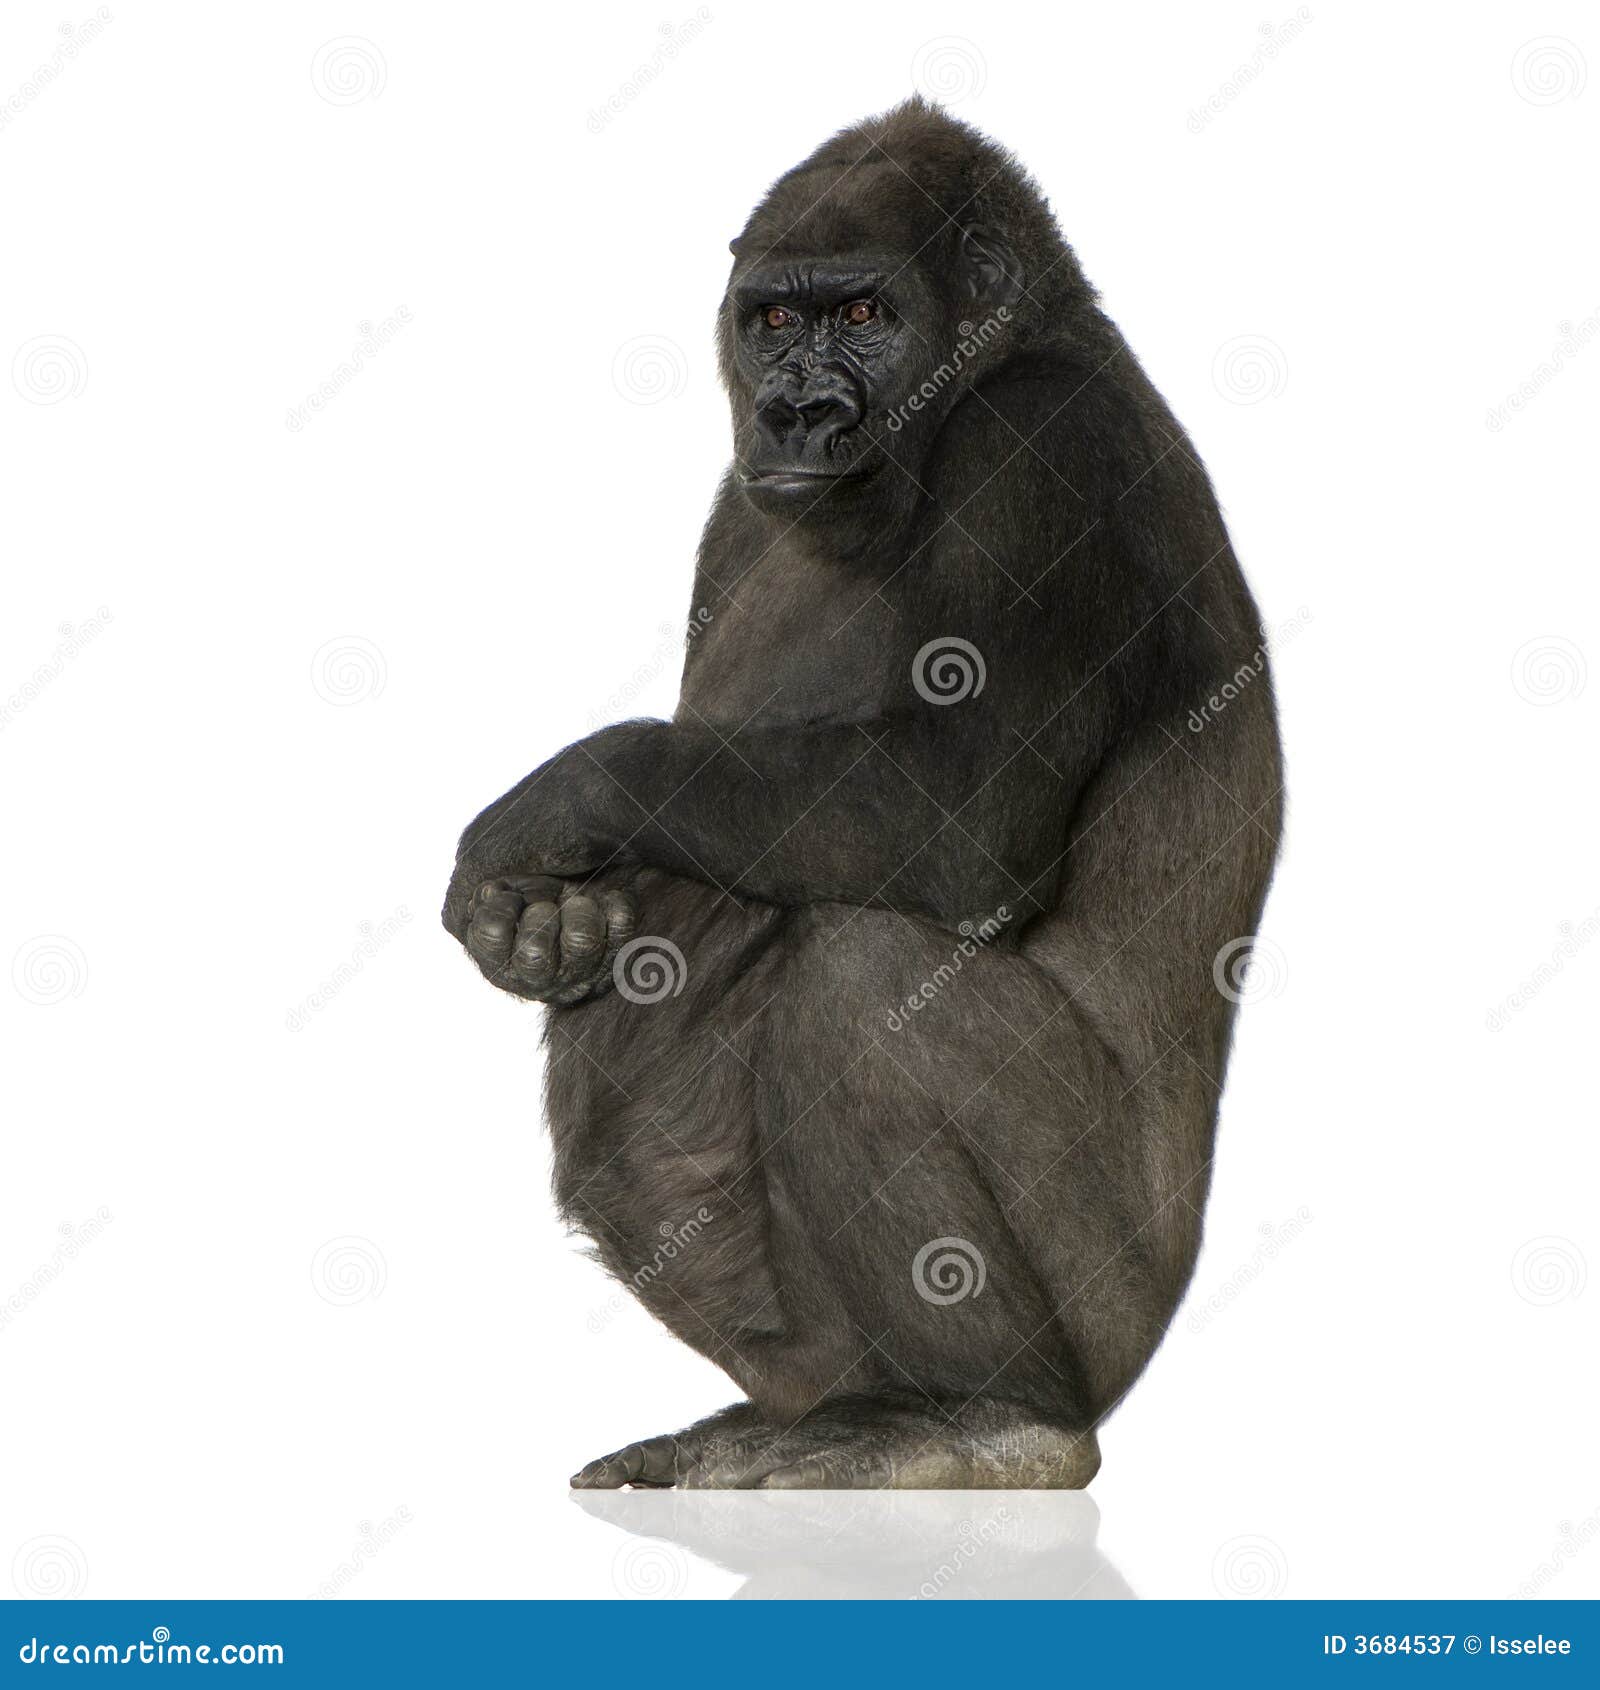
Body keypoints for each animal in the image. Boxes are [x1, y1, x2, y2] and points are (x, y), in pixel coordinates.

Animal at [442, 97, 1283, 1488]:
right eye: (774, 323)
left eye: (864, 314)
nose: (794, 414)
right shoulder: (734, 516)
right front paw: (540, 923)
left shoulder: (1045, 451)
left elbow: (954, 818)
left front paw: (556, 806)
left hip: (1120, 1318)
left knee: (859, 975)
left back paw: (987, 1415)